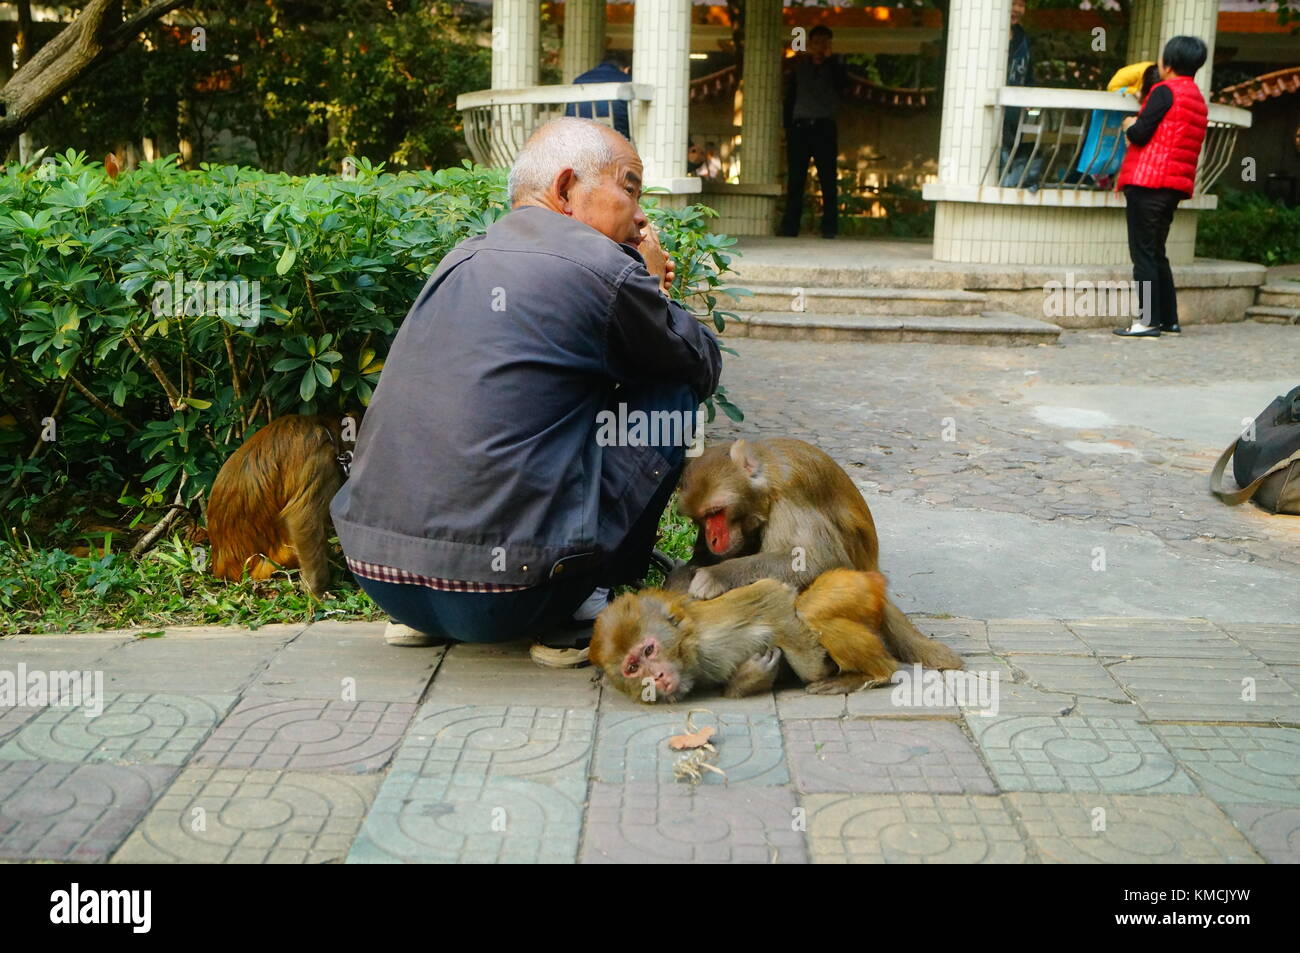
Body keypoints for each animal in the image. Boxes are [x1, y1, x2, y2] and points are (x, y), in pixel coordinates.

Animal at [590, 569, 899, 703]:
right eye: (633, 668)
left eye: (649, 651)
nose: (657, 677)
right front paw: (750, 677)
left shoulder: (713, 630)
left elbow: (771, 595)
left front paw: (819, 671)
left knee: (808, 610)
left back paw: (874, 673)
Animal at [665, 437, 962, 672]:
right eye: (701, 519)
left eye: (717, 512)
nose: (713, 539)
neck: (768, 477)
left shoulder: (790, 495)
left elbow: (819, 561)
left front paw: (714, 576)